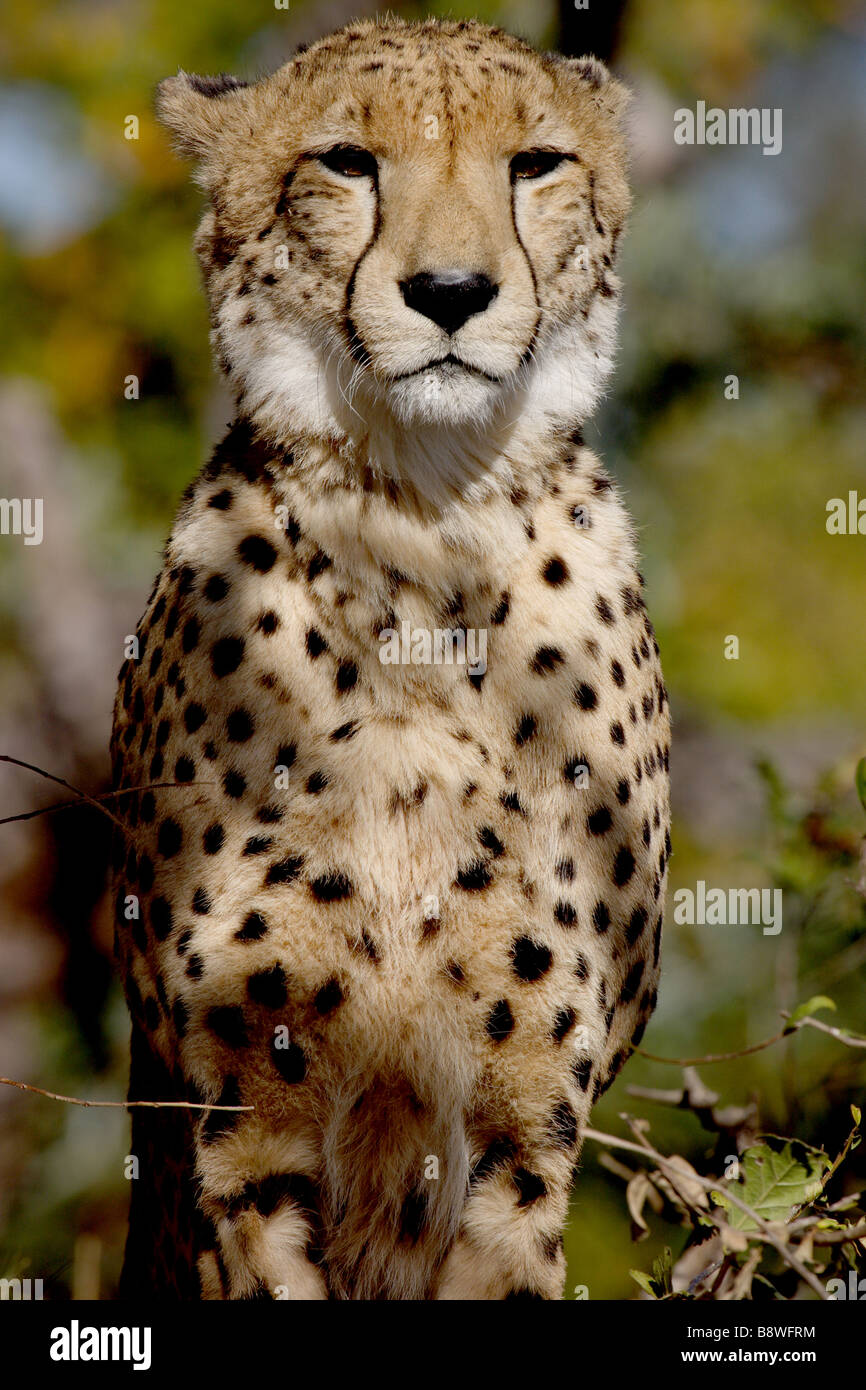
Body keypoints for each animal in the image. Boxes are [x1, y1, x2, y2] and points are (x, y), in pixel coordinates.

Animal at [110, 15, 670, 1301]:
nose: (451, 294)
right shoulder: (243, 1133)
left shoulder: (521, 1142)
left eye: (535, 165)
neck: (419, 533)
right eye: (347, 162)